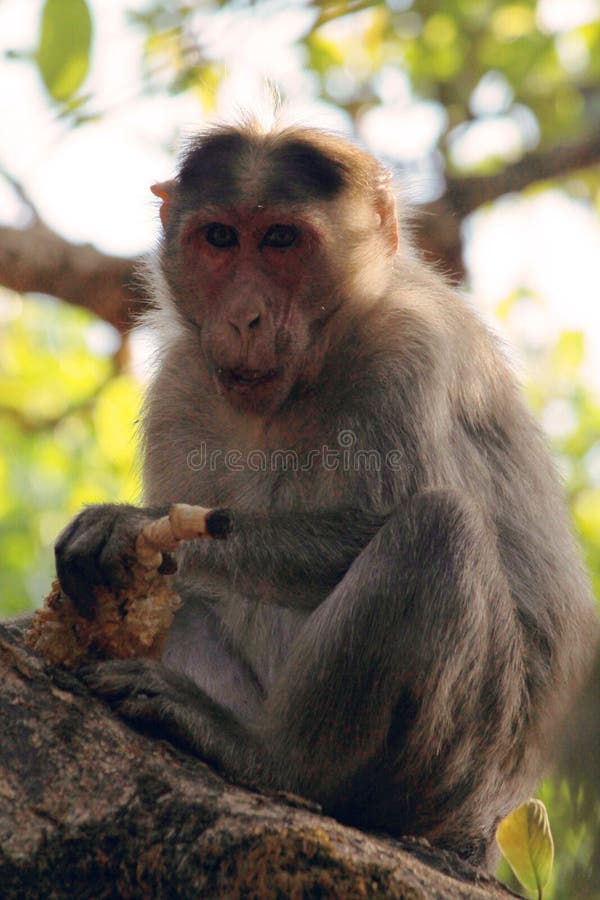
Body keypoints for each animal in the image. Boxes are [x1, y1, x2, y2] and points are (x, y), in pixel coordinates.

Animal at [54, 121, 598, 869]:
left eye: (282, 240)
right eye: (220, 239)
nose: (245, 318)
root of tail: (485, 827)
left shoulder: (408, 349)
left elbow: (365, 524)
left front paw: (130, 526)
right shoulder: (182, 384)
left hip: (456, 763)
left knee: (437, 529)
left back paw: (270, 759)